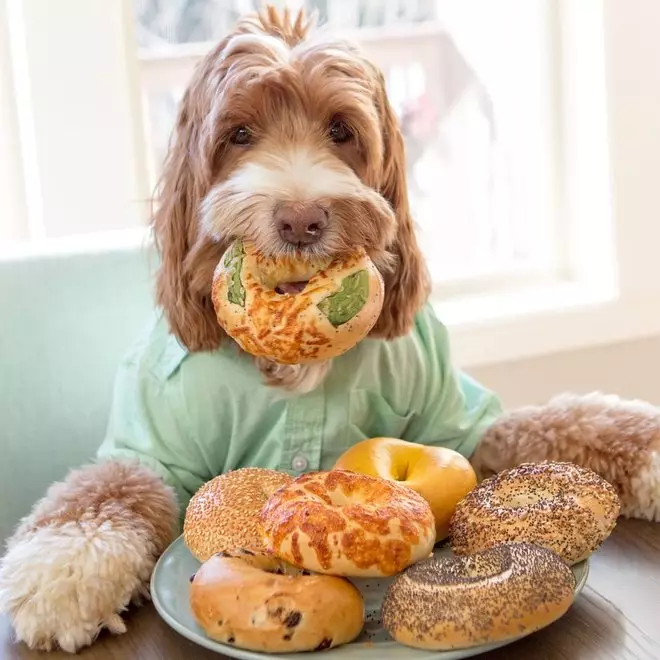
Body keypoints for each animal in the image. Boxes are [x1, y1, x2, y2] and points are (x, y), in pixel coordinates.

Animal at [1, 6, 660, 656]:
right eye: (239, 134)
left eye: (342, 130)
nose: (301, 220)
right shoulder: (151, 446)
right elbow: (108, 488)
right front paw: (61, 572)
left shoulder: (458, 424)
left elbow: (558, 424)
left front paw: (646, 446)